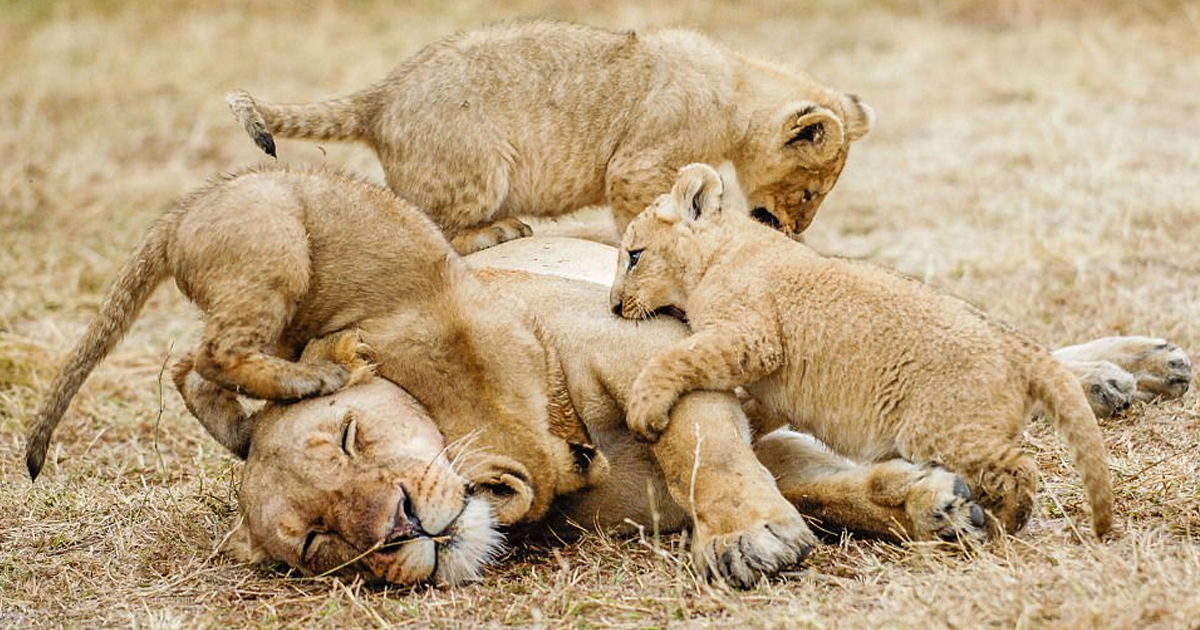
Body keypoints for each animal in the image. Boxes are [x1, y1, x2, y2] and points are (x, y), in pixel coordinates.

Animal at [23, 166, 608, 529]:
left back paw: (242, 435)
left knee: (189, 369)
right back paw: (316, 382)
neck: (483, 389)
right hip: (276, 256)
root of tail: (178, 218)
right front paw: (337, 367)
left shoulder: (524, 333)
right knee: (214, 354)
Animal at [197, 236, 1191, 587]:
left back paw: (1129, 369)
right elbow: (830, 487)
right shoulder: (776, 437)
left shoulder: (653, 348)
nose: (399, 527)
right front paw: (929, 504)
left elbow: (701, 449)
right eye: (320, 544)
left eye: (348, 435)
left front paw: (747, 542)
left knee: (989, 336)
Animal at [225, 20, 874, 254]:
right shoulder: (638, 163)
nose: (791, 230)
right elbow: (637, 212)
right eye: (811, 193)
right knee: (429, 225)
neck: (737, 85)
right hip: (477, 168)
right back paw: (496, 232)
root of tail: (380, 96)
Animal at [609, 163, 1120, 537]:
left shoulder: (753, 339)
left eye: (634, 256)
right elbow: (759, 411)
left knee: (1021, 466)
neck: (719, 252)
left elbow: (677, 356)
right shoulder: (774, 383)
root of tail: (1018, 344)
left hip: (941, 430)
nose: (614, 306)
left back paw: (1000, 524)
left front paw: (645, 410)